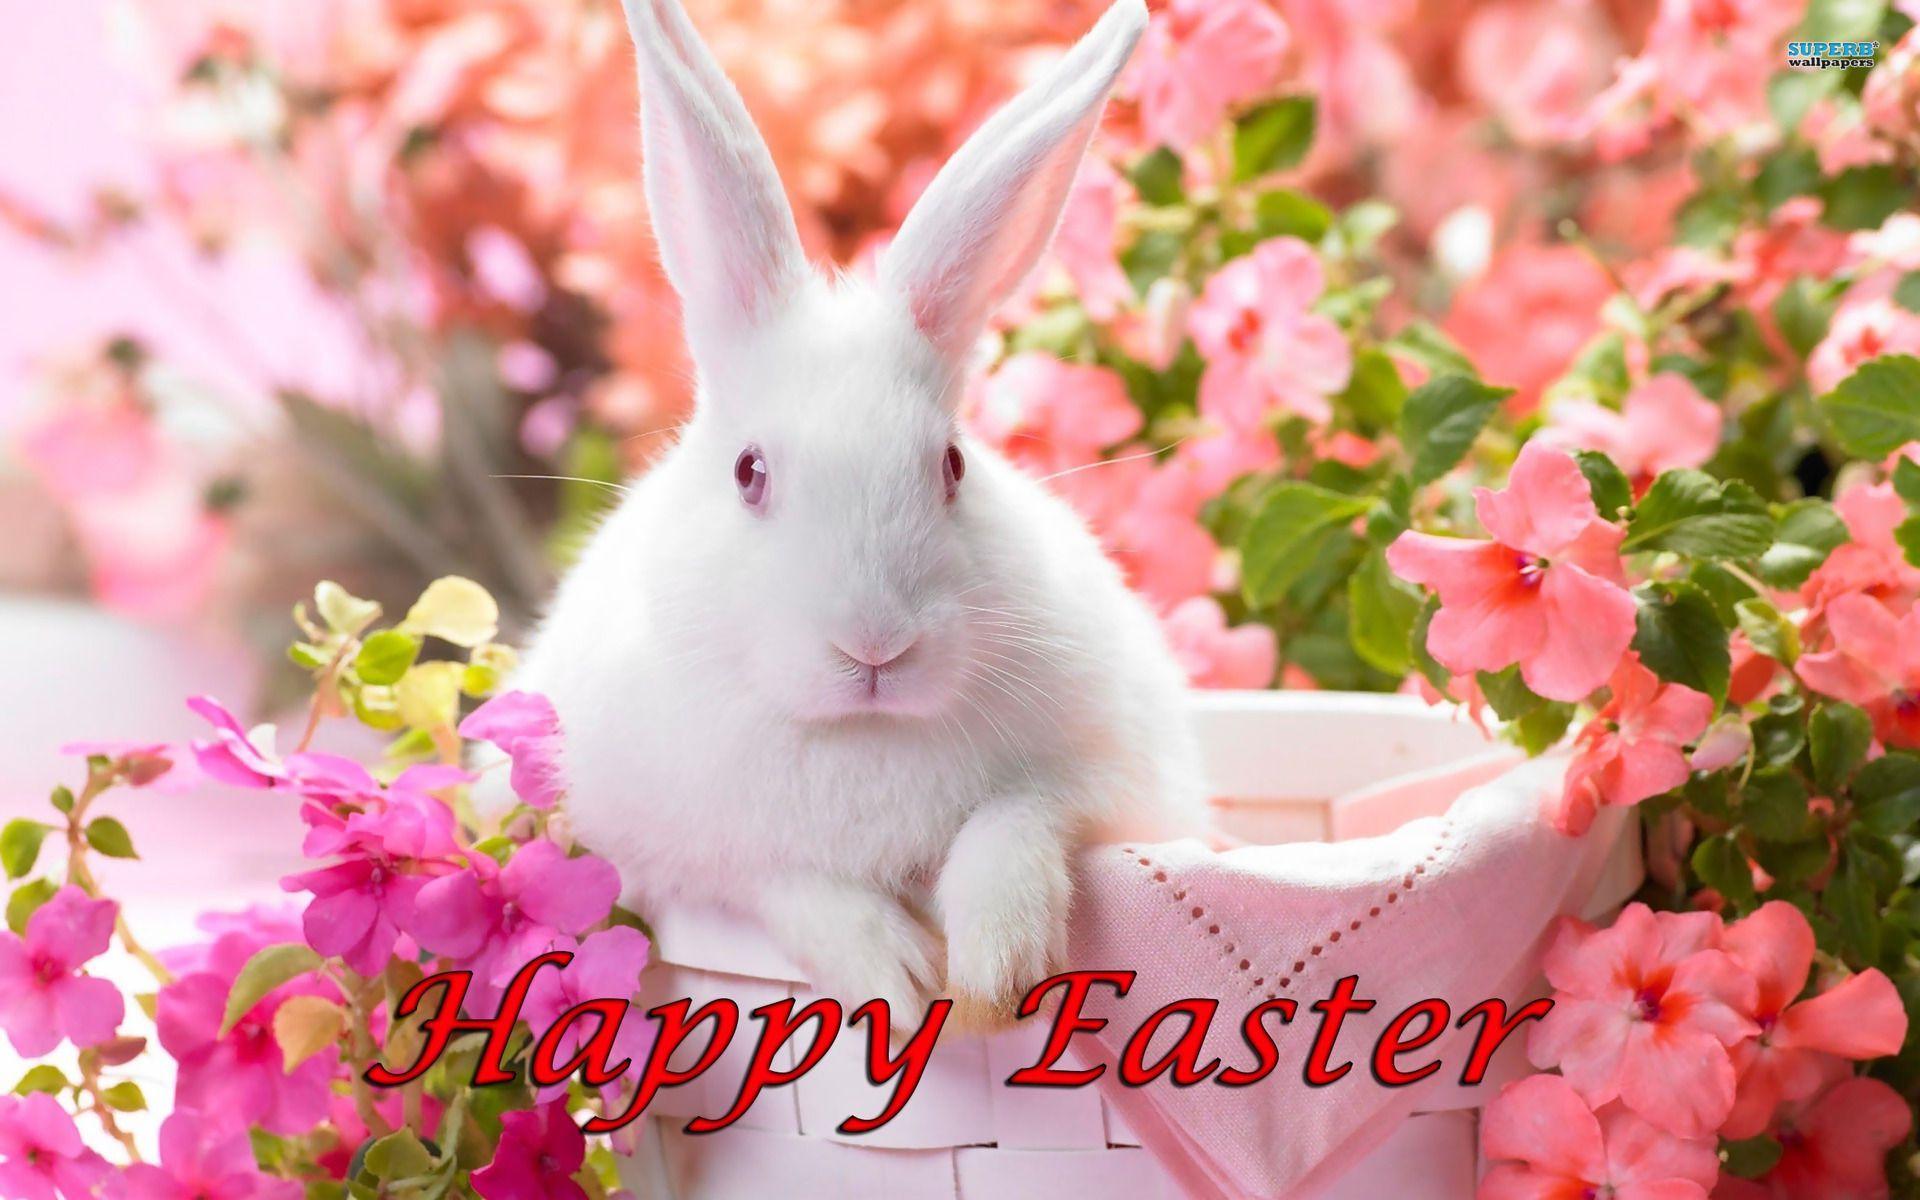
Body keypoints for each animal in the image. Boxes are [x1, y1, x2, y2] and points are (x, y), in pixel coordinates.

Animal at [511, 0, 1204, 1028]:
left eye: (953, 466)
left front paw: (993, 969)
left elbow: (1018, 816)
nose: (875, 646)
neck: (862, 734)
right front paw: (902, 982)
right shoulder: (675, 850)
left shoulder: (1111, 776)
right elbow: (791, 882)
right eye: (749, 473)